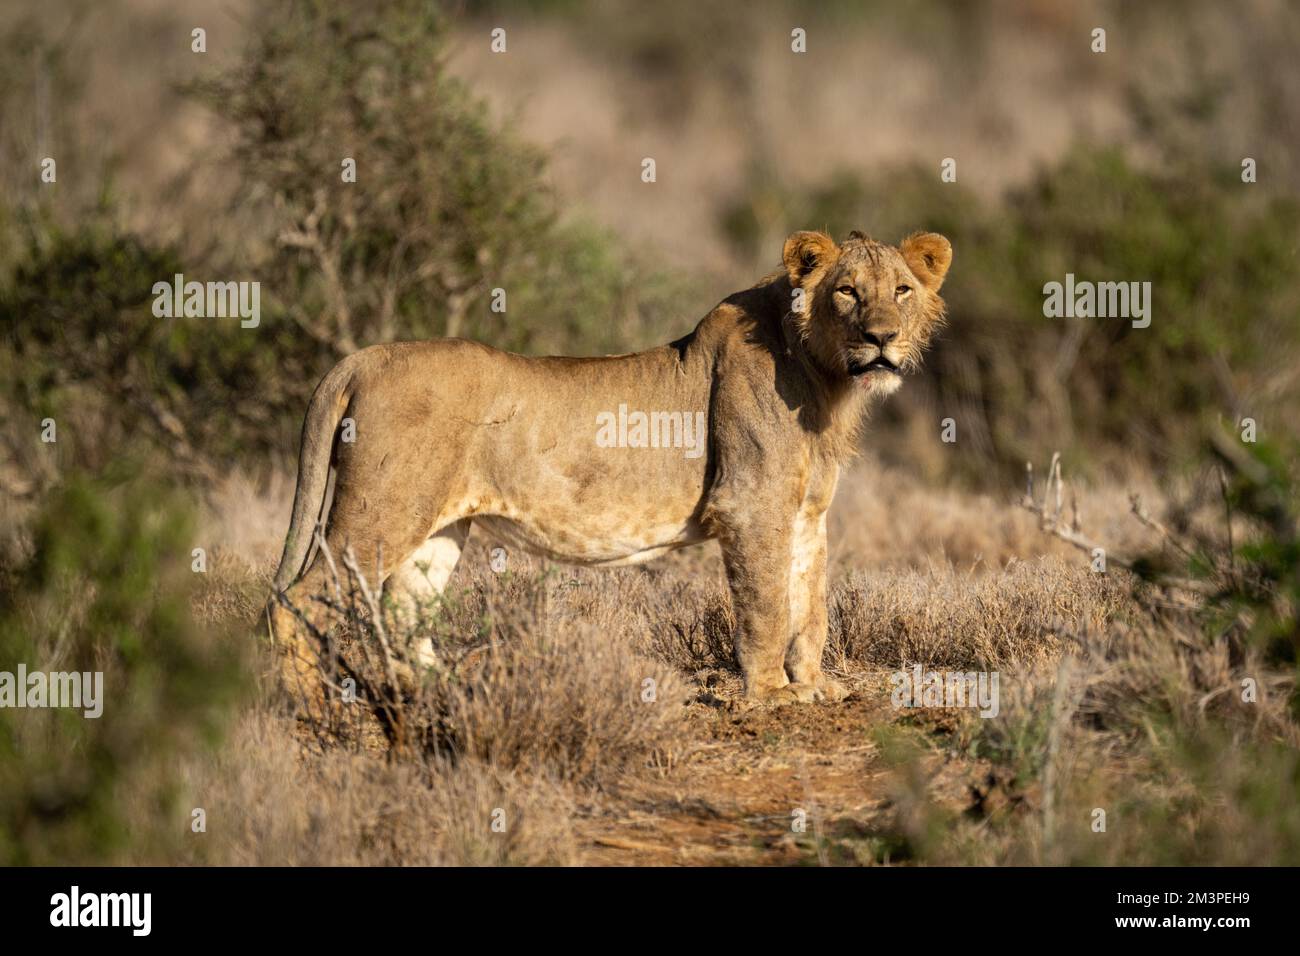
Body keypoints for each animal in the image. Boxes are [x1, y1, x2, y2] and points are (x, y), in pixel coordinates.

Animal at [268, 229, 952, 704]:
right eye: (847, 291)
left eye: (901, 290)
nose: (883, 338)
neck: (824, 380)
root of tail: (362, 359)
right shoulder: (749, 504)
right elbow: (766, 605)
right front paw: (771, 694)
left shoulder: (806, 515)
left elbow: (809, 604)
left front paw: (813, 685)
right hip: (380, 512)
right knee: (297, 599)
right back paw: (307, 707)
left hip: (437, 529)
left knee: (405, 612)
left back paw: (439, 694)